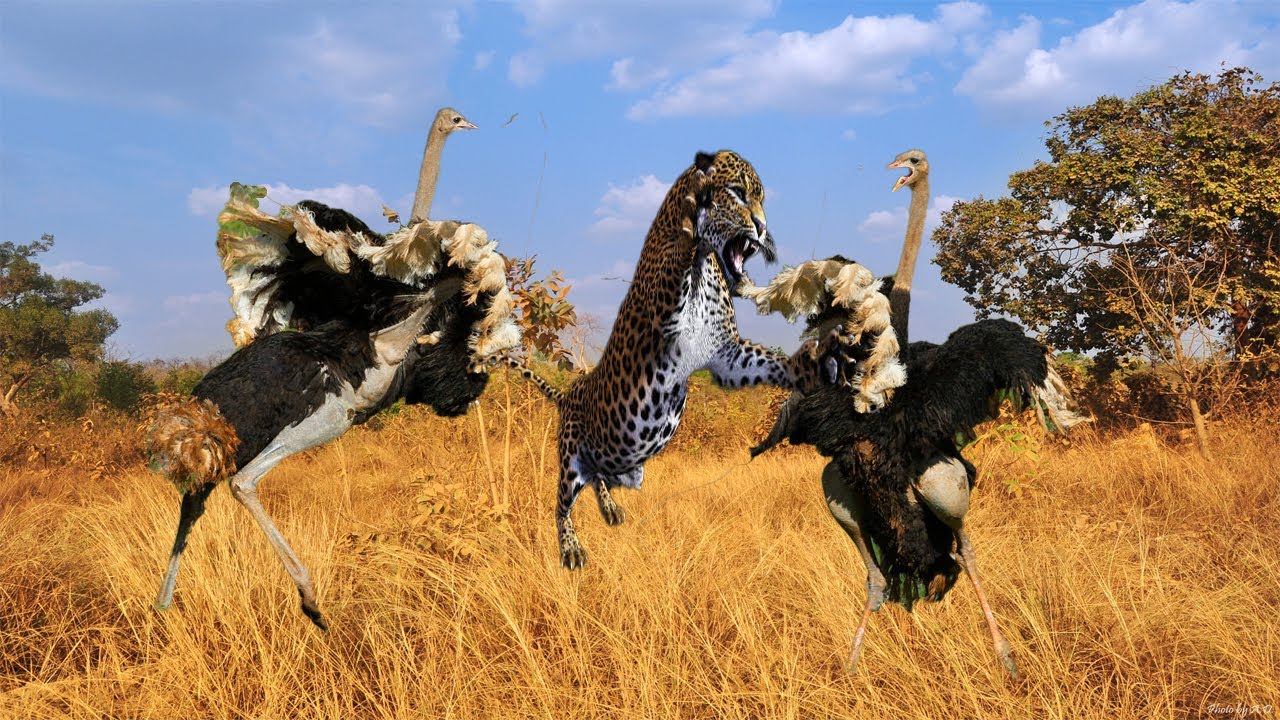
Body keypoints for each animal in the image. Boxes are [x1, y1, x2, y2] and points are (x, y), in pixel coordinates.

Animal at [511, 150, 859, 569]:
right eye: (738, 193)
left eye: (762, 199)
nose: (762, 228)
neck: (702, 264)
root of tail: (567, 395)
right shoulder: (662, 307)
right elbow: (674, 245)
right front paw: (693, 202)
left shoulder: (727, 354)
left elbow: (769, 362)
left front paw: (817, 363)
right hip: (570, 460)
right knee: (561, 505)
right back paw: (571, 549)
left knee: (598, 479)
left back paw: (611, 510)